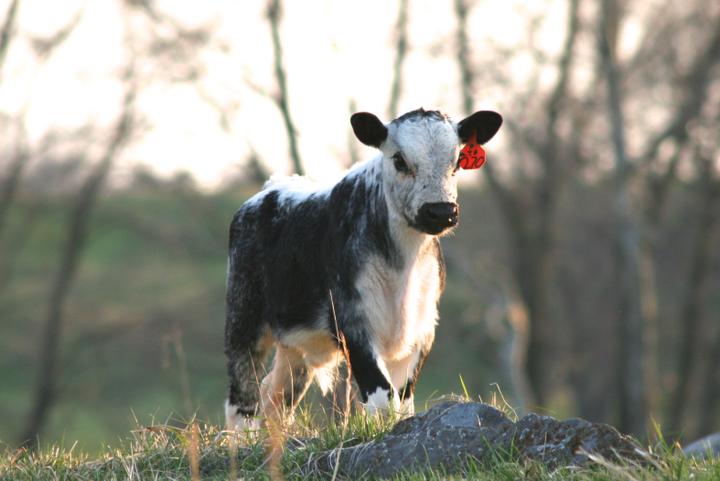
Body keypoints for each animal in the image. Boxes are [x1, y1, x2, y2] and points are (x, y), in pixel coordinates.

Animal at [224, 108, 502, 431]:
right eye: (399, 160)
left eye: (457, 161)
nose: (441, 211)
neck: (403, 269)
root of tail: (273, 188)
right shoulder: (352, 321)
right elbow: (383, 399)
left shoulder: (422, 328)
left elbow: (403, 401)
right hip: (243, 316)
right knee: (242, 401)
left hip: (297, 344)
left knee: (275, 398)